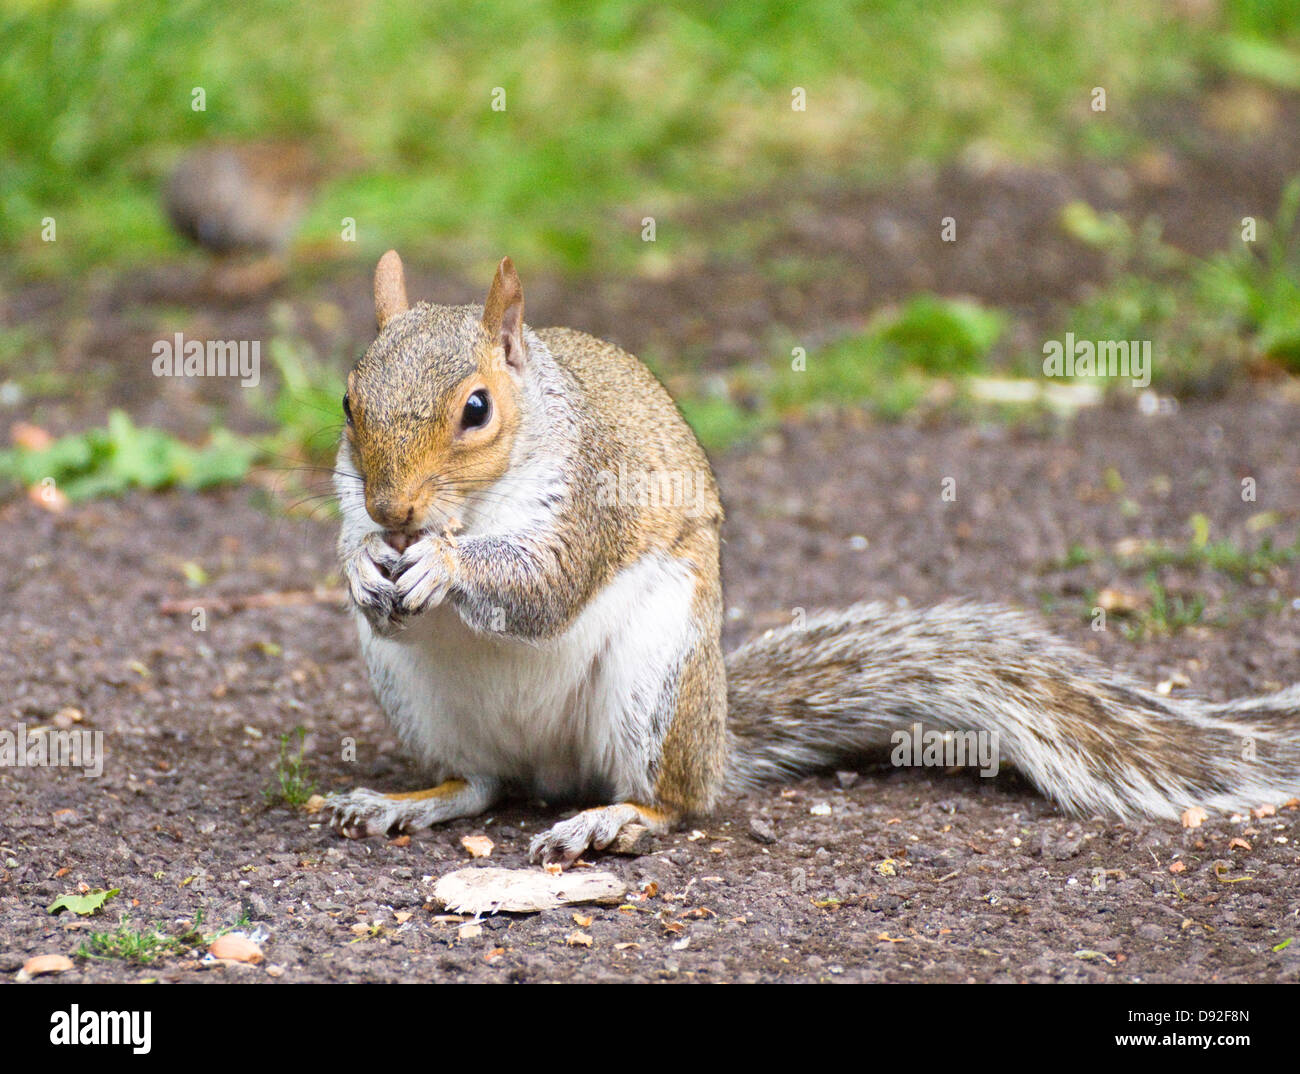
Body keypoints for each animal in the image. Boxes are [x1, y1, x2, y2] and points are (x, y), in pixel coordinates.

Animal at [326, 250, 1300, 865]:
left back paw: (615, 822)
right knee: (482, 784)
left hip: (656, 681)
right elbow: (359, 559)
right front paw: (363, 566)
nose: (392, 511)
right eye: (346, 401)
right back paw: (406, 801)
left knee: (675, 802)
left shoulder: (592, 494)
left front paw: (446, 568)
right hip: (420, 701)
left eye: (477, 409)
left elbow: (546, 586)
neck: (474, 505)